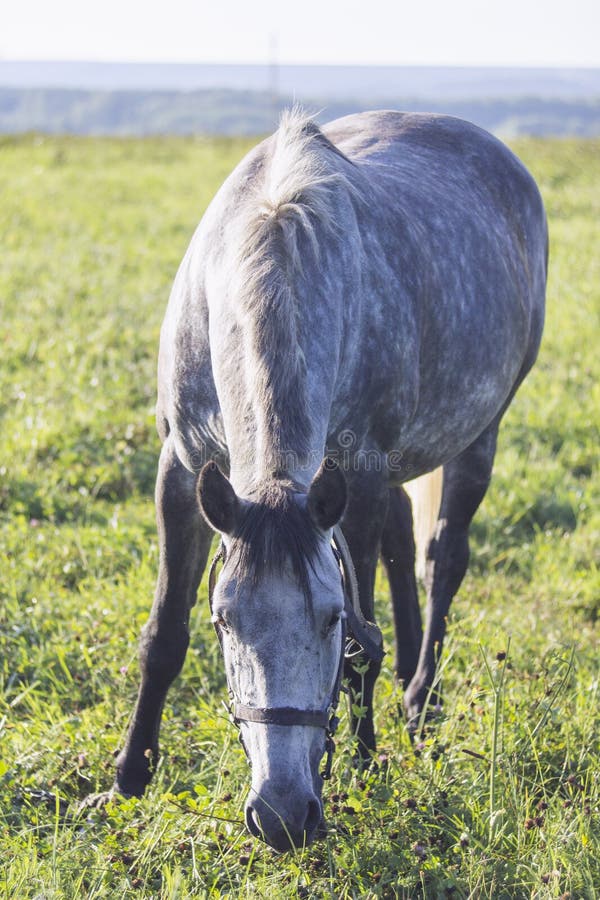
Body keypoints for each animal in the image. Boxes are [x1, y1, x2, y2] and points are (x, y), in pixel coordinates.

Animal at [105, 110, 548, 852]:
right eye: (224, 620)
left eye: (328, 617)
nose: (282, 815)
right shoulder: (183, 468)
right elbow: (164, 634)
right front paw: (128, 778)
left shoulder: (356, 476)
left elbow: (361, 645)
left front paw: (366, 771)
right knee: (405, 542)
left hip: (478, 436)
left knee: (443, 558)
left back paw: (420, 701)